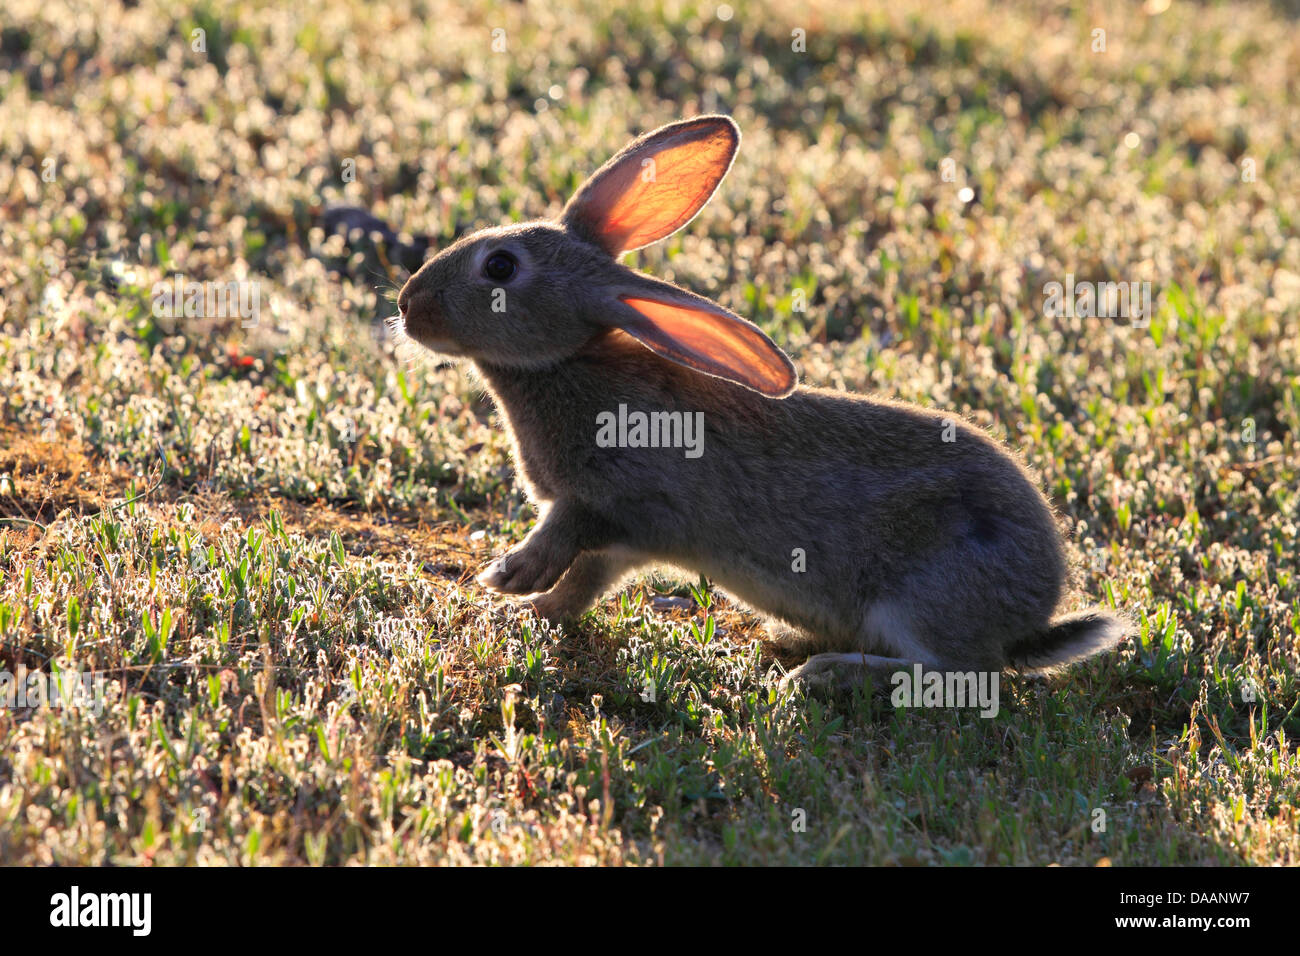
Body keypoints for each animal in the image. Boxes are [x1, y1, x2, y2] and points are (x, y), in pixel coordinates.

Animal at [394, 115, 1126, 693]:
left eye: (499, 267)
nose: (407, 304)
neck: (567, 363)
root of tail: (1028, 621)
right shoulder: (621, 541)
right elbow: (583, 585)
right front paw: (526, 609)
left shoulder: (619, 501)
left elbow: (568, 540)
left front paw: (508, 578)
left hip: (922, 600)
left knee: (957, 675)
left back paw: (827, 674)